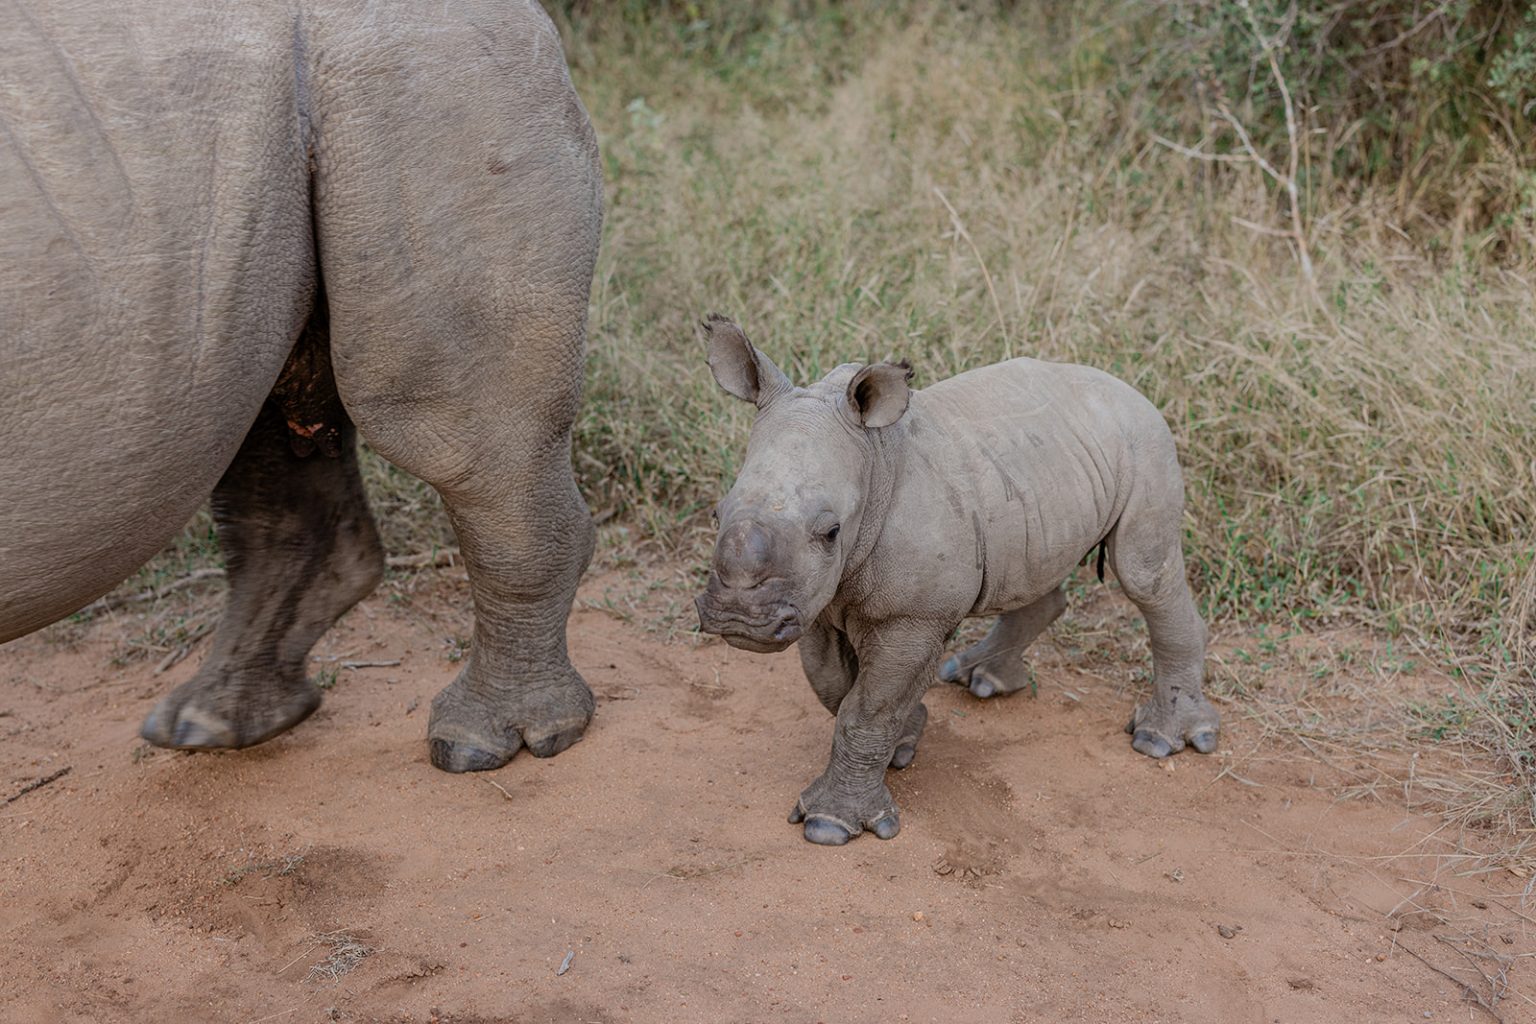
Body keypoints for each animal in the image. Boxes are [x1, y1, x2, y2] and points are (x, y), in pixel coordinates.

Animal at [1, 0, 602, 773]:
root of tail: (535, 15)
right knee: (254, 406)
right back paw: (214, 724)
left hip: (426, 87)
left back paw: (486, 746)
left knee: (459, 441)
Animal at [694, 316, 1220, 845]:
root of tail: (1130, 388)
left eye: (831, 531)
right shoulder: (812, 599)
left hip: (1147, 444)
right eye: (717, 513)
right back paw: (978, 679)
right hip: (1042, 472)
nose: (739, 620)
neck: (873, 461)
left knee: (1143, 574)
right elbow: (836, 688)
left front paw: (830, 825)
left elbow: (868, 708)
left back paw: (1160, 740)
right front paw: (905, 740)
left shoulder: (913, 614)